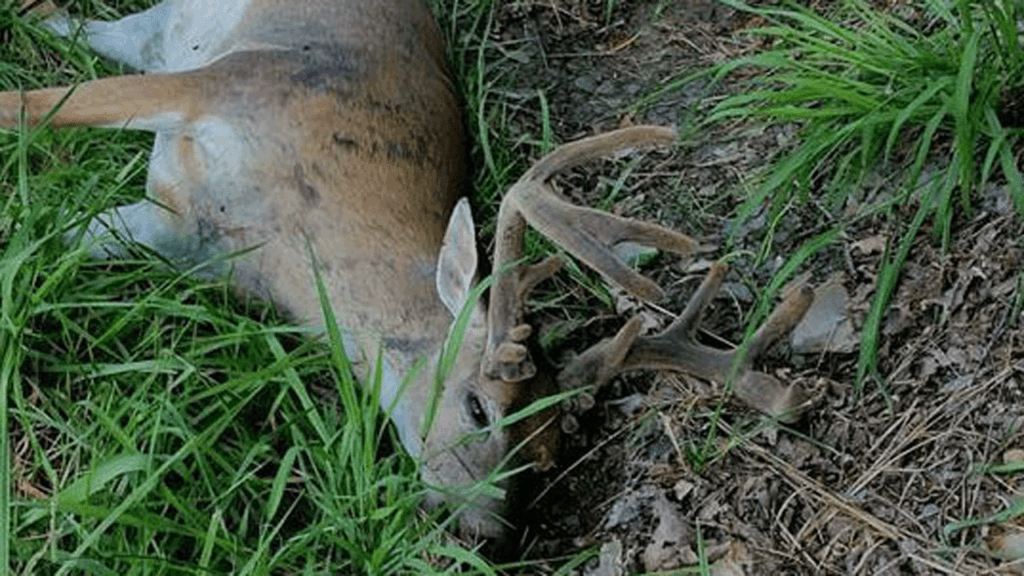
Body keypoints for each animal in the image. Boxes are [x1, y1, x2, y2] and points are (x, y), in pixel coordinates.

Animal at [0, 0, 814, 543]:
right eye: (479, 407)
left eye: (545, 458)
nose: (486, 534)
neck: (277, 237)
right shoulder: (233, 83)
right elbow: (24, 107)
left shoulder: (167, 230)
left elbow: (42, 245)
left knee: (67, 24)